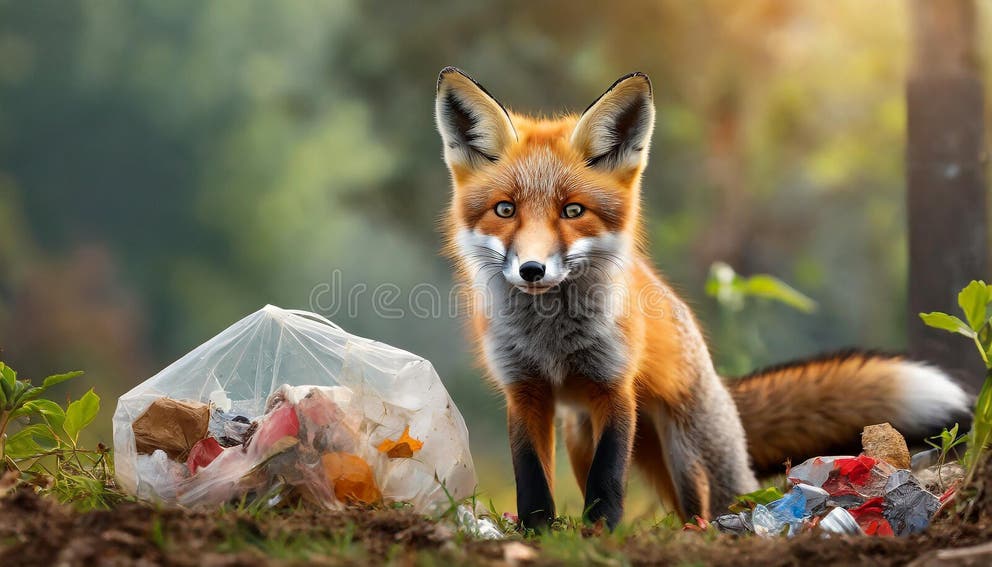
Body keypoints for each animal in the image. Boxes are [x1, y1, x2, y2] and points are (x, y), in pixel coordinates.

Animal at [433, 66, 970, 530]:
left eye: (573, 211)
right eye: (505, 210)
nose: (532, 269)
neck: (552, 342)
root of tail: (718, 379)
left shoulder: (615, 387)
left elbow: (608, 483)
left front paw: (599, 534)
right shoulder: (524, 391)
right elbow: (531, 478)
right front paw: (540, 532)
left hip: (685, 452)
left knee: (710, 501)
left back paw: (713, 528)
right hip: (581, 431)